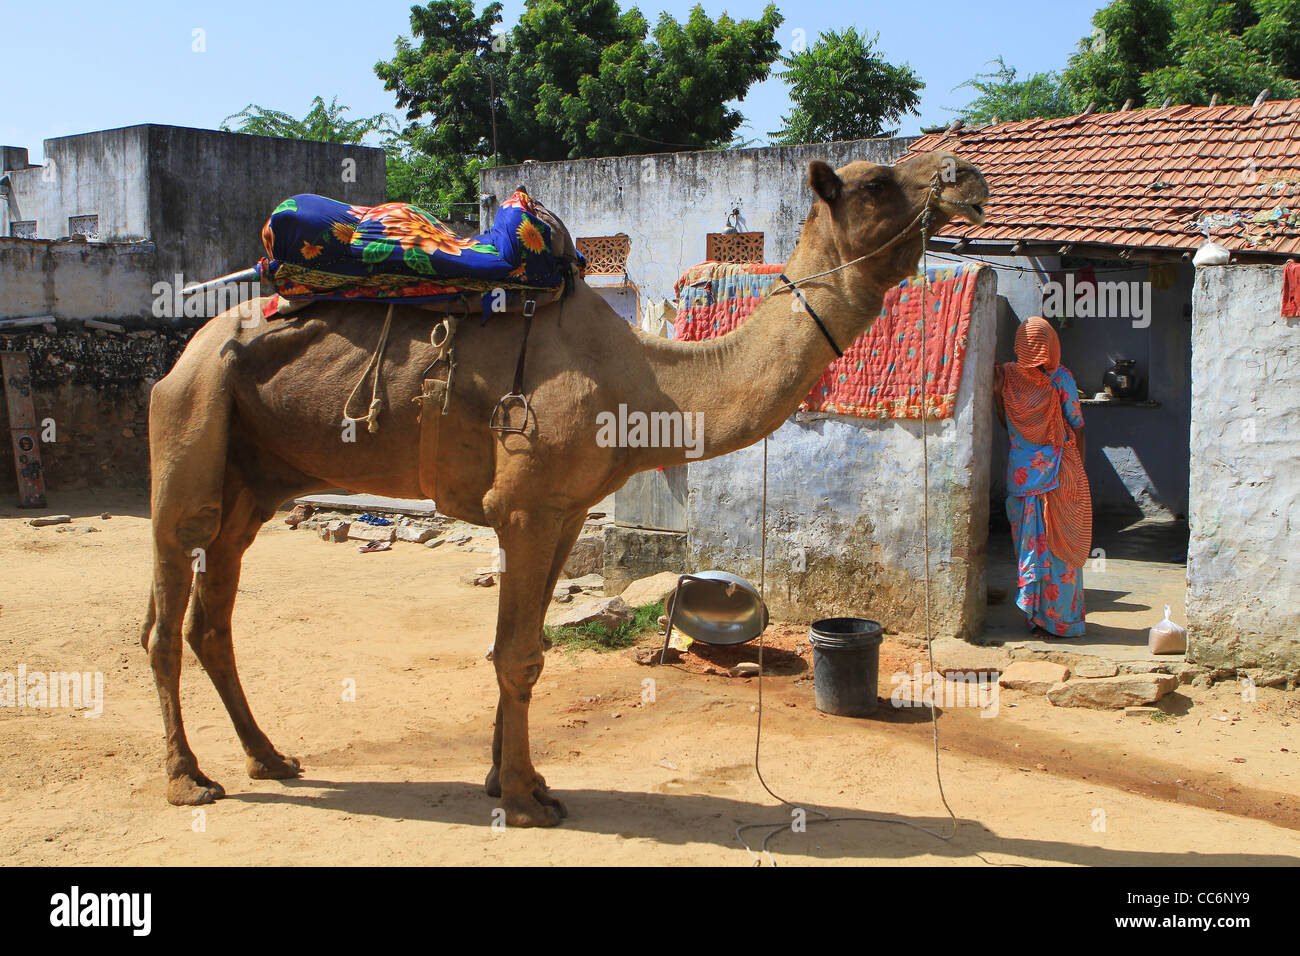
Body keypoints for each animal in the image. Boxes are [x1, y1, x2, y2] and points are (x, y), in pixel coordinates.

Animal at [139, 151, 989, 827]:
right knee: (166, 606)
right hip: (191, 426)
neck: (648, 386)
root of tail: (187, 349)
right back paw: (189, 781)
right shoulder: (523, 507)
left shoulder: (566, 509)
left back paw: (270, 758)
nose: (968, 178)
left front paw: (509, 778)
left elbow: (523, 645)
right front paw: (524, 800)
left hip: (254, 476)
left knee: (213, 616)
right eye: (877, 182)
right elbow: (518, 654)